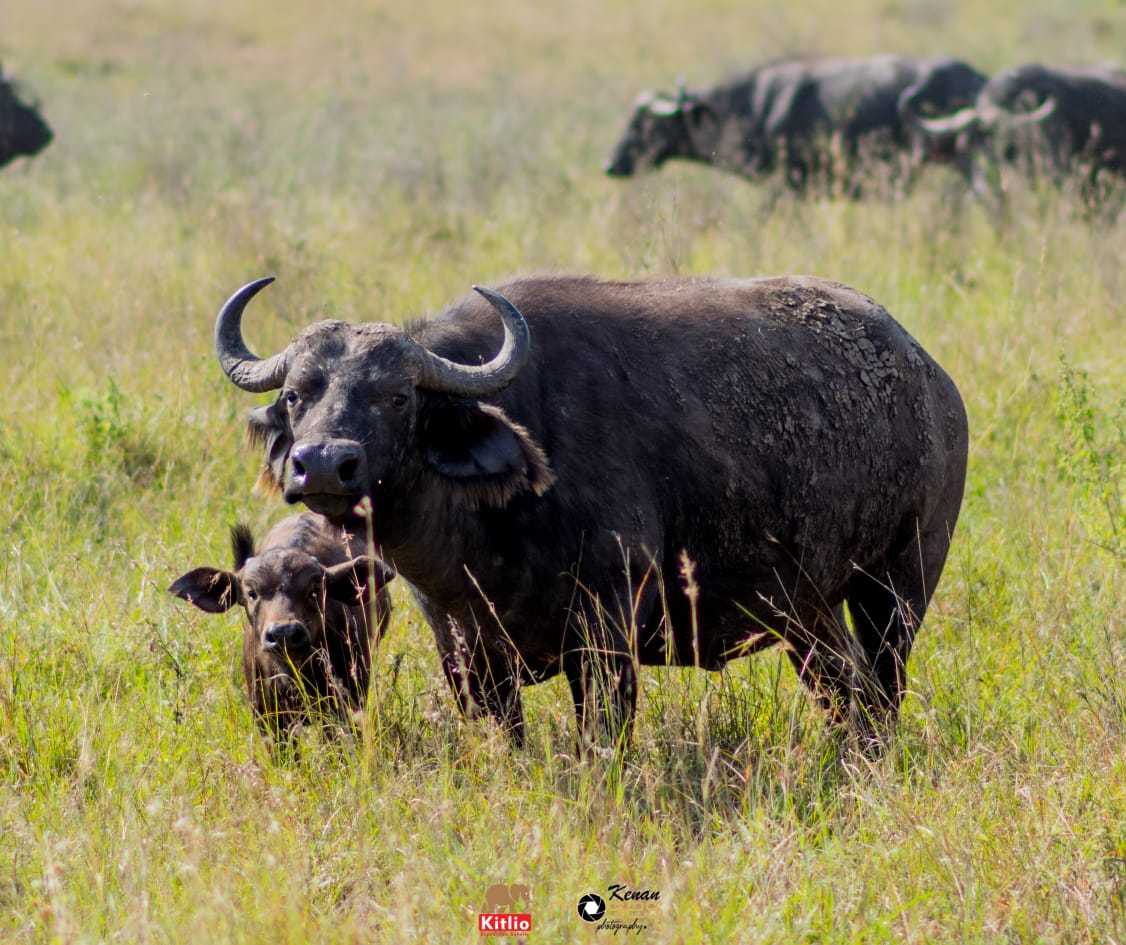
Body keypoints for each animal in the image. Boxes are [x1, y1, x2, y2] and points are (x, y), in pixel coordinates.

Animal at [212, 274, 968, 753]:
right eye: (296, 395)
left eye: (397, 396)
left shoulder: (606, 634)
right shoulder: (463, 650)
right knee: (844, 691)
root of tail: (932, 380)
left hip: (898, 586)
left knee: (883, 687)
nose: (321, 463)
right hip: (805, 611)